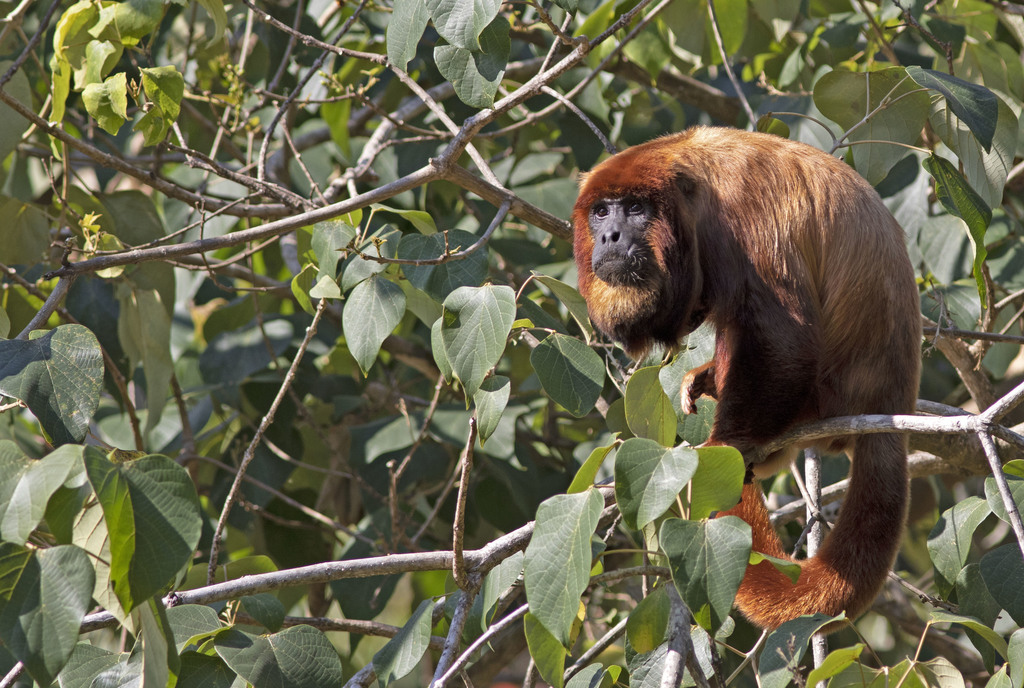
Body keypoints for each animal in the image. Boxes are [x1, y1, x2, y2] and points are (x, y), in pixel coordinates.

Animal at [572, 126, 921, 630]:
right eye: (601, 211)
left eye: (635, 208)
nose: (609, 235)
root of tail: (891, 408)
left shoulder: (743, 213)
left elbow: (785, 338)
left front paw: (727, 445)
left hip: (826, 400)